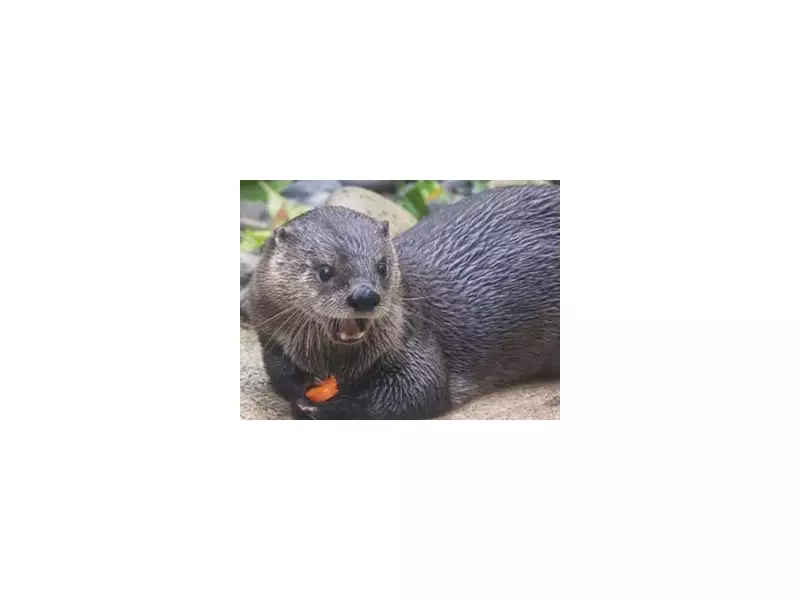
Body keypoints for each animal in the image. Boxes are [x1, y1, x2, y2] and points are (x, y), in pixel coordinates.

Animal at [247, 185, 559, 419]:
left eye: (382, 265)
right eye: (325, 270)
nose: (365, 296)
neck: (337, 363)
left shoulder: (410, 332)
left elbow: (418, 390)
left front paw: (330, 406)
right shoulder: (271, 338)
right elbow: (279, 374)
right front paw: (303, 390)